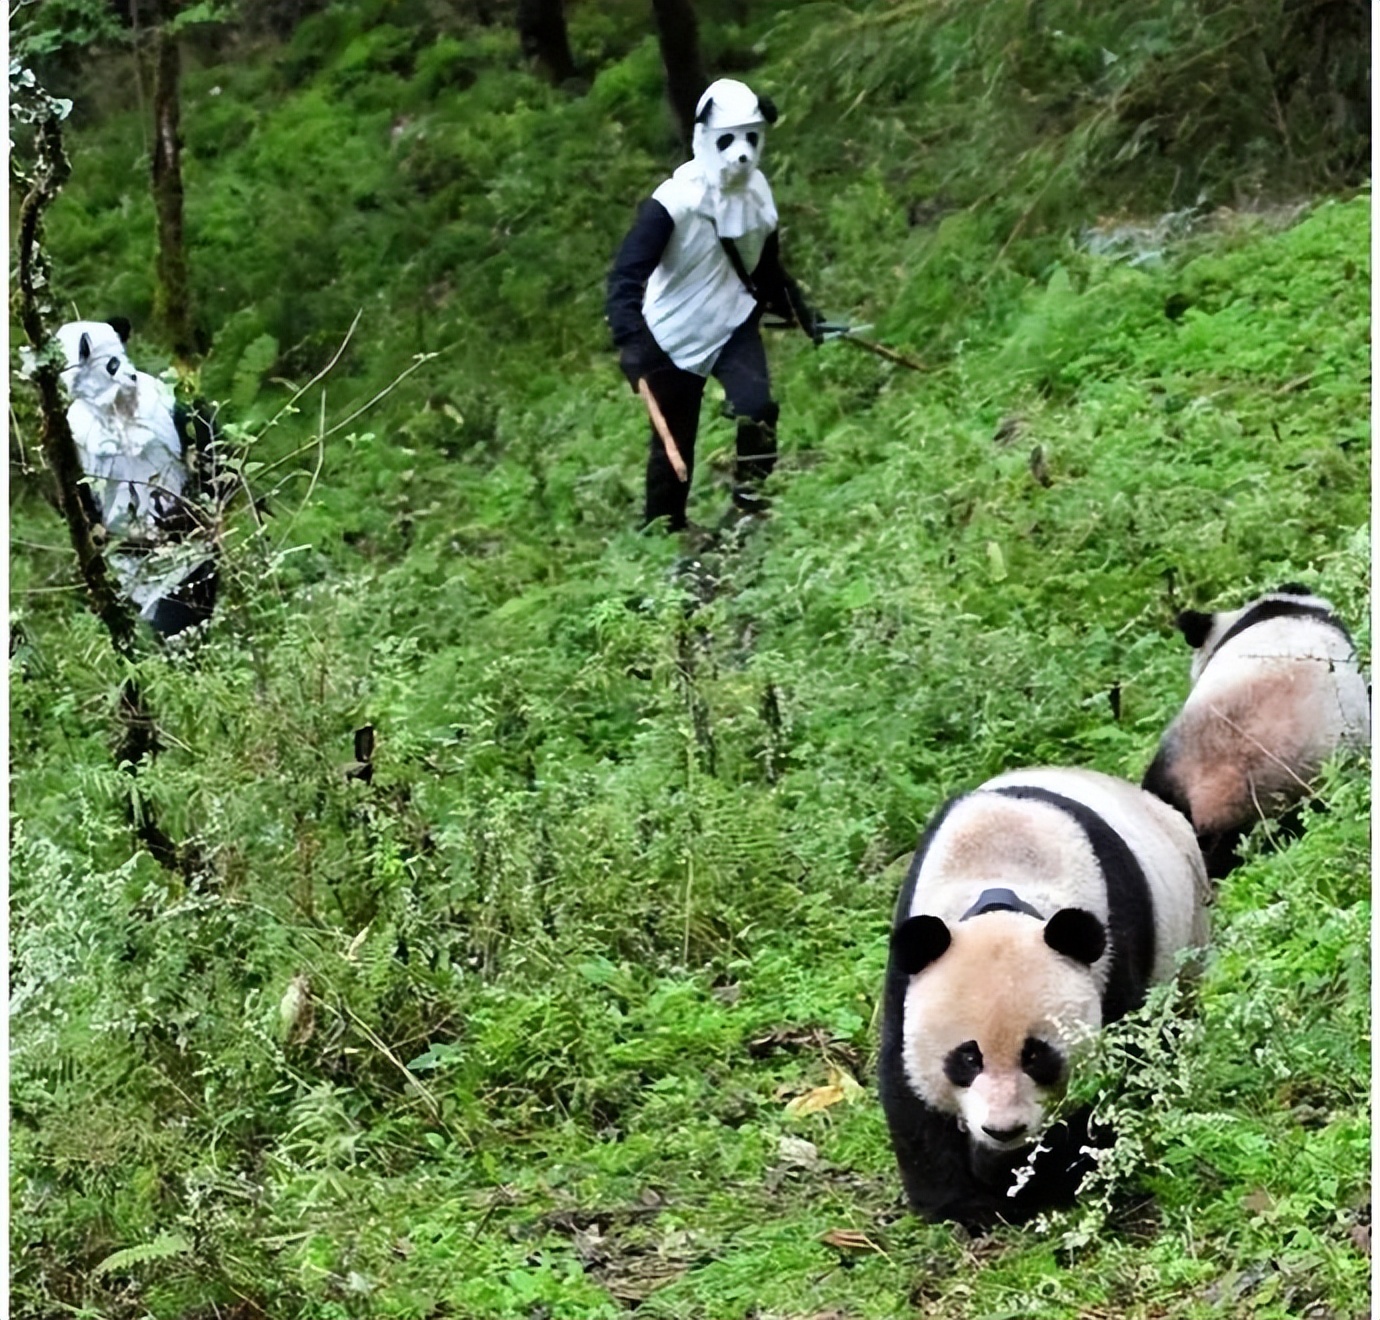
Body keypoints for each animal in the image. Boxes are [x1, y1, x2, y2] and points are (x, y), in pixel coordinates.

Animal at [877, 767, 1209, 1229]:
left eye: (1035, 1055)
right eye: (968, 1057)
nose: (1003, 1130)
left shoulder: (1115, 953)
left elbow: (1103, 1088)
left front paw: (1039, 1184)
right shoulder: (910, 970)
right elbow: (907, 1086)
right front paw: (960, 1203)